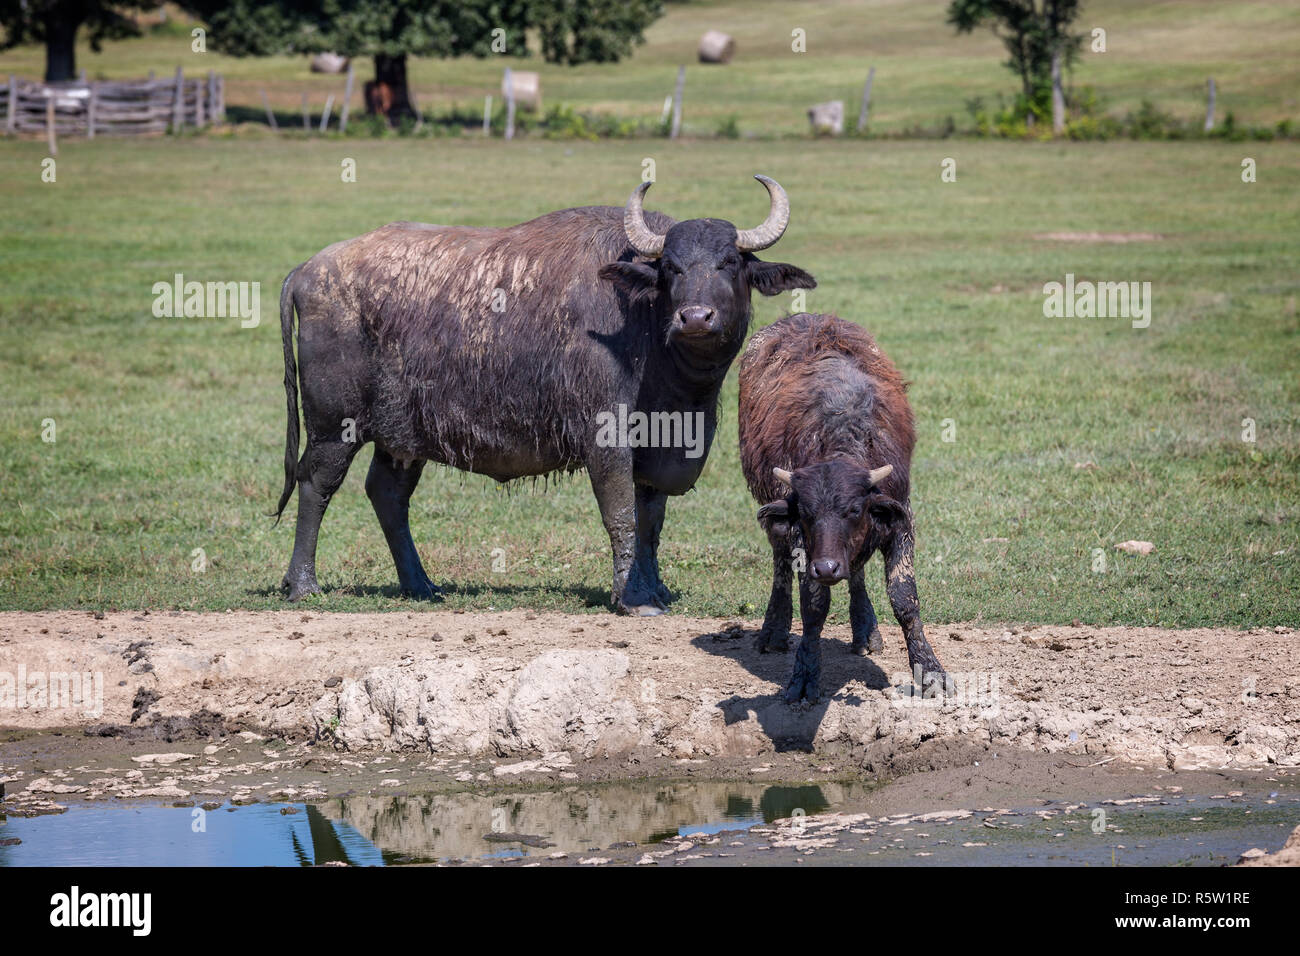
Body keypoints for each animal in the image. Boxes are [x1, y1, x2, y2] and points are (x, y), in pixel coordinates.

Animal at [275, 177, 815, 614]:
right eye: (673, 268)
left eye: (729, 263)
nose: (696, 317)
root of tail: (307, 270)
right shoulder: (607, 439)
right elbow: (621, 514)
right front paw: (631, 597)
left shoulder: (660, 445)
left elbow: (651, 522)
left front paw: (654, 587)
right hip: (334, 425)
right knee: (316, 483)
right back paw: (303, 584)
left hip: (403, 436)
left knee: (387, 495)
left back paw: (421, 585)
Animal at [738, 312, 949, 702]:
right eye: (808, 513)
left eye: (853, 510)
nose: (827, 567)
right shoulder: (800, 536)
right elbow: (813, 605)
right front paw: (804, 675)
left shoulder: (900, 520)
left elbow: (904, 598)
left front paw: (930, 671)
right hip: (773, 517)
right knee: (779, 563)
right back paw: (773, 630)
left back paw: (865, 630)